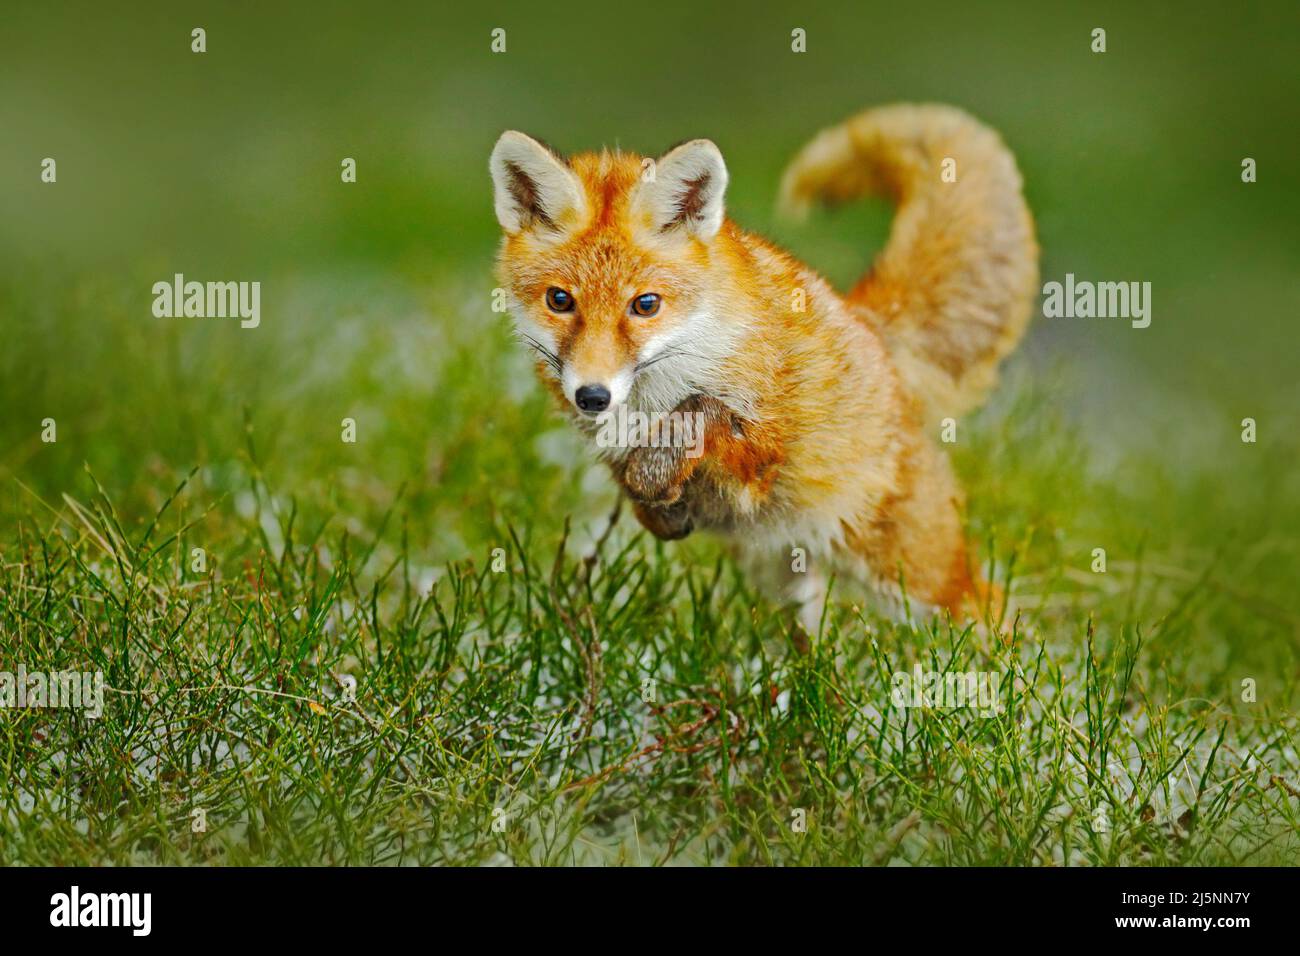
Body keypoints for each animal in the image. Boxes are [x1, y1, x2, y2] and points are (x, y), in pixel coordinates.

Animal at [489, 103, 1038, 625]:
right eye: (560, 300)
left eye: (645, 305)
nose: (593, 396)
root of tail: (872, 330)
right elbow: (639, 486)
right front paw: (660, 506)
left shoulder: (762, 449)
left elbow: (701, 412)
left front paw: (660, 469)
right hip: (782, 577)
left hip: (912, 573)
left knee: (991, 612)